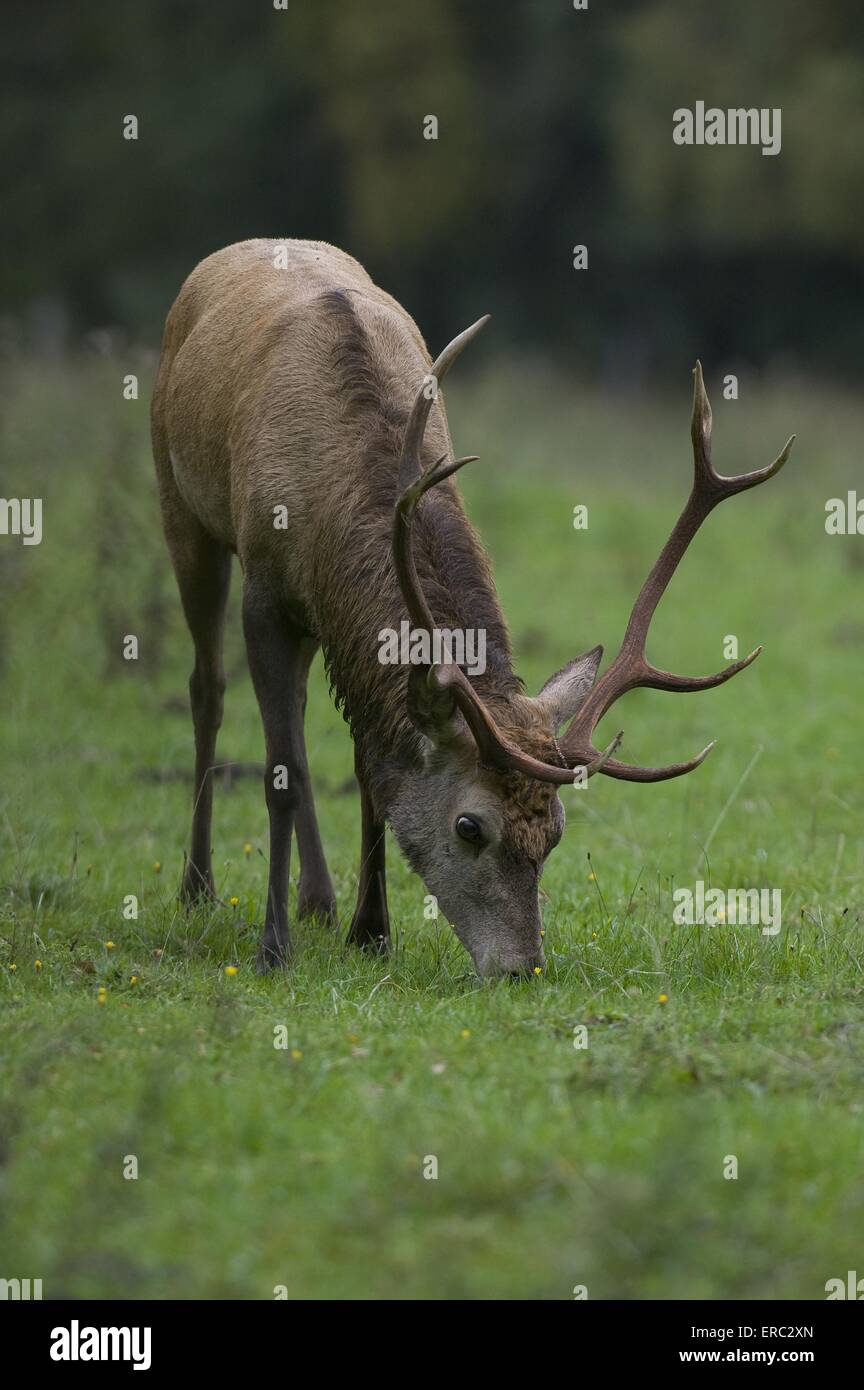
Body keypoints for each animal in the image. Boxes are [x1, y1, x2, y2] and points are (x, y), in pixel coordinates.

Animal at [151, 239, 794, 978]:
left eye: (556, 831)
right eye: (469, 826)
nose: (522, 965)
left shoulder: (346, 629)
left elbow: (372, 773)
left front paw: (371, 931)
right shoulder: (265, 593)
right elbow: (278, 773)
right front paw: (272, 949)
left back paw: (319, 901)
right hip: (180, 506)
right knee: (207, 688)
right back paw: (198, 887)